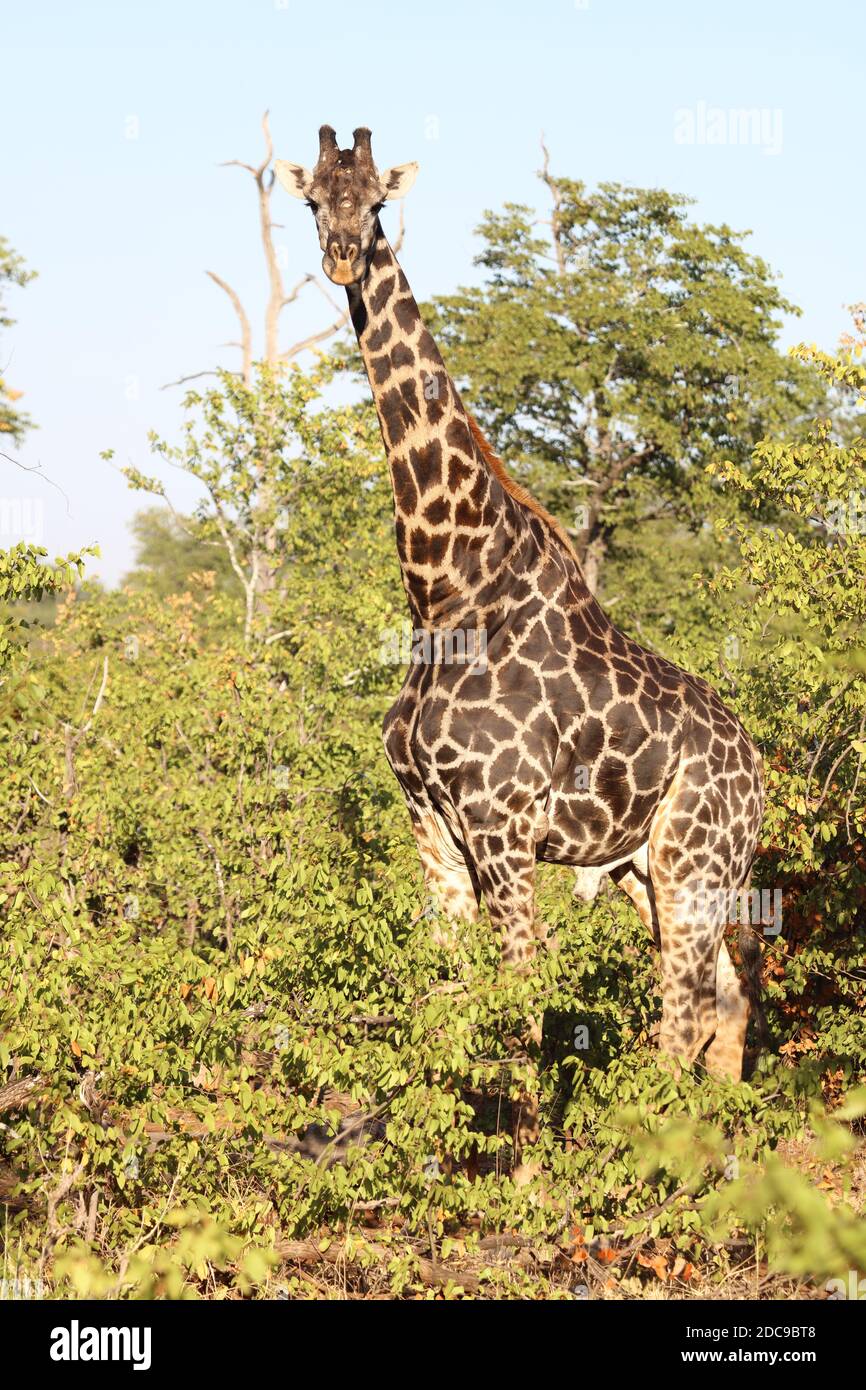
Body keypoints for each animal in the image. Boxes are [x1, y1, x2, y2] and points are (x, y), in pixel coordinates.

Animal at [276, 126, 766, 1119]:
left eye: (376, 203)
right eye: (311, 201)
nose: (342, 255)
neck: (443, 590)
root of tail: (763, 778)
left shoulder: (502, 826)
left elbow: (520, 1003)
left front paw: (523, 1157)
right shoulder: (429, 821)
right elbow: (449, 997)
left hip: (694, 861)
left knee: (686, 1011)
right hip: (650, 870)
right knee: (726, 1003)